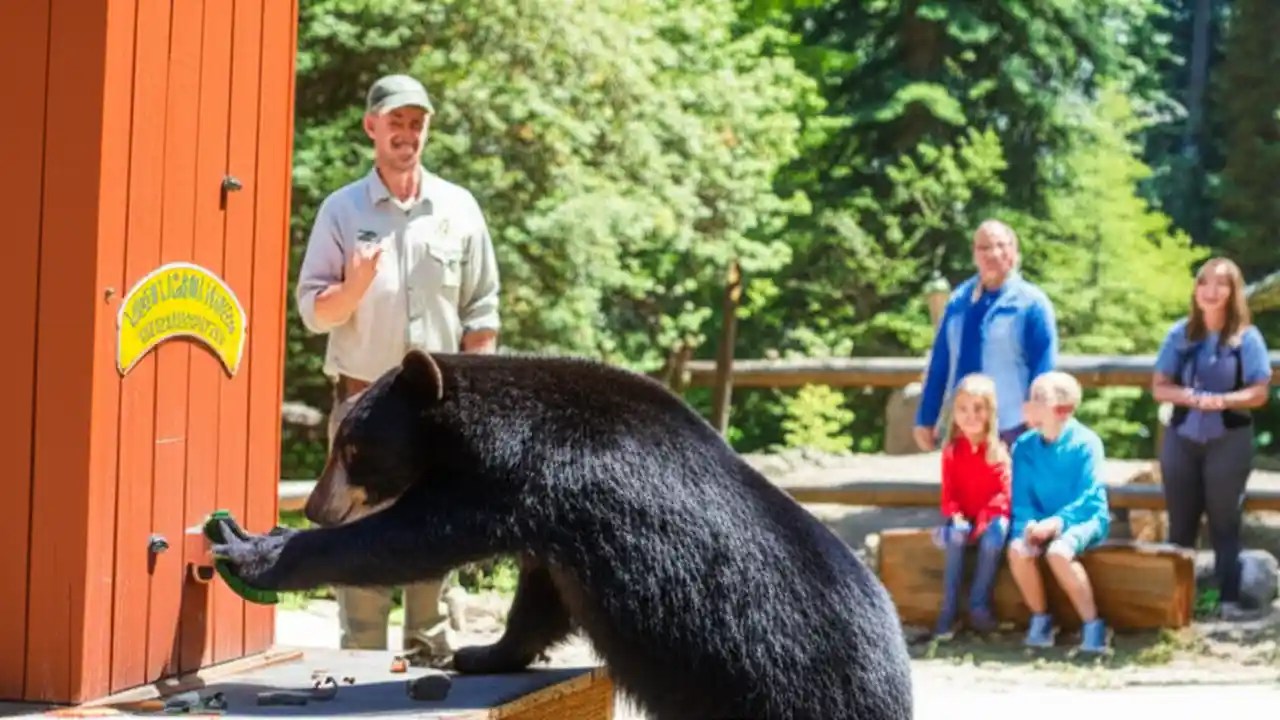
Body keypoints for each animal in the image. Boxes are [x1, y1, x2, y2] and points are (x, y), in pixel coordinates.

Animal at [212, 349, 913, 720]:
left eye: (352, 448)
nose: (318, 506)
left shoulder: (525, 477)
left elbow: (410, 537)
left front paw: (255, 547)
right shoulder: (553, 523)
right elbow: (540, 598)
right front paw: (480, 653)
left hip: (787, 689)